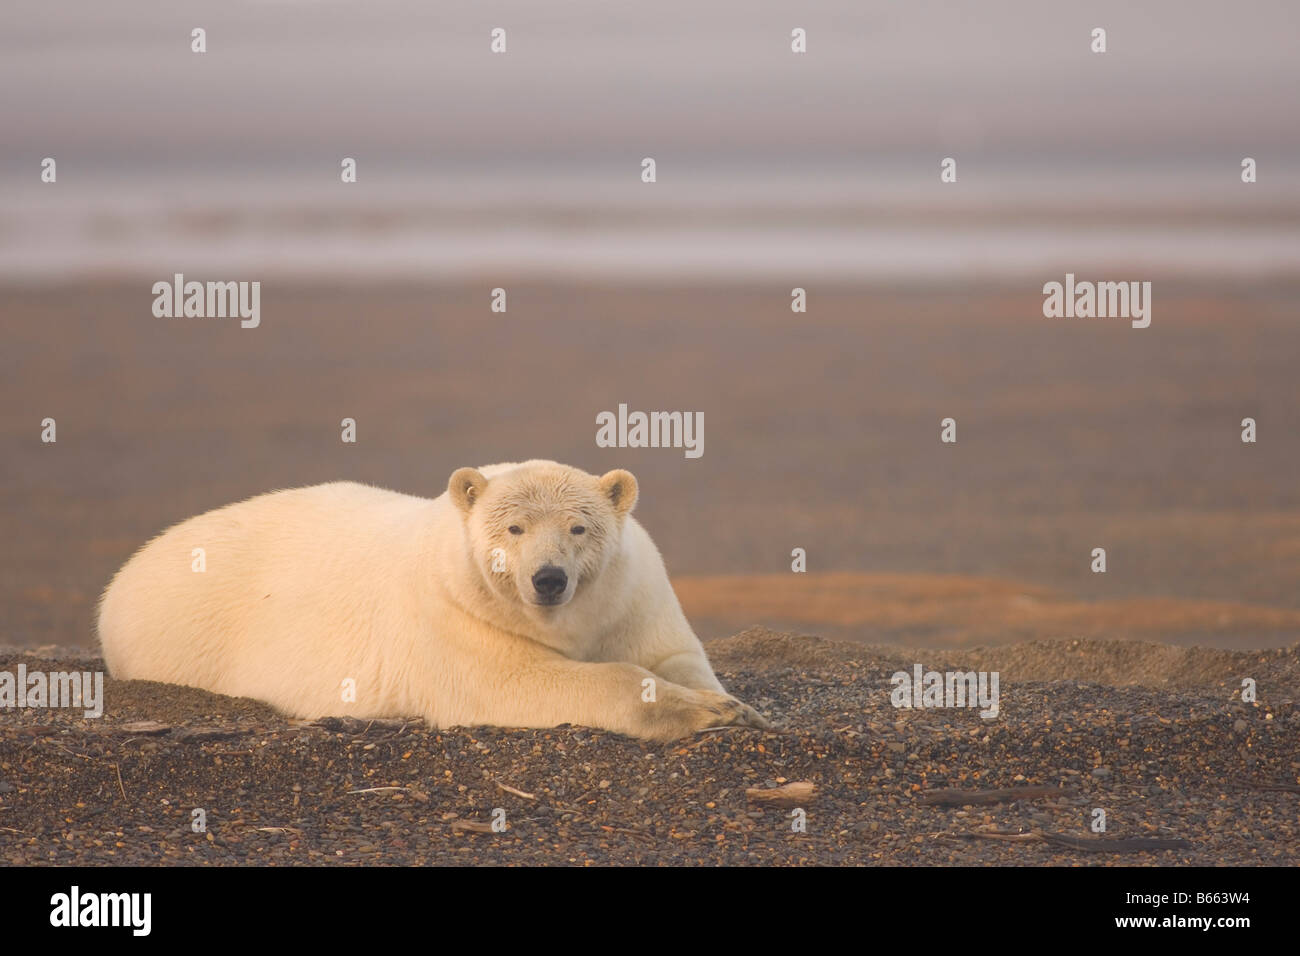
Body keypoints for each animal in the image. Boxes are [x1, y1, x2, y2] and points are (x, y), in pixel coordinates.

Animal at [97, 460, 768, 741]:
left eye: (579, 528)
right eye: (514, 528)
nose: (548, 579)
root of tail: (119, 582)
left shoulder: (631, 590)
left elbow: (672, 652)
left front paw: (731, 704)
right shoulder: (458, 613)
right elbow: (520, 683)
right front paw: (705, 712)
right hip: (182, 636)